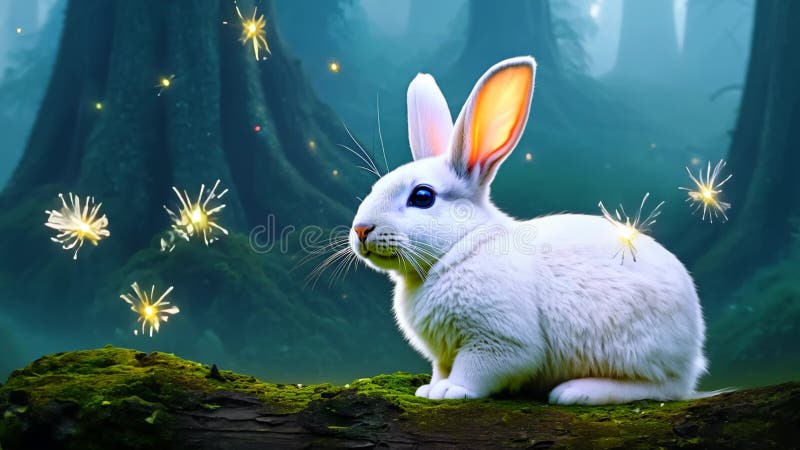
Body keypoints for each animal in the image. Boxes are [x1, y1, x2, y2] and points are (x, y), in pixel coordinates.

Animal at [349, 56, 709, 405]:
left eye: (422, 197)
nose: (361, 230)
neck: (460, 249)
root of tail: (693, 351)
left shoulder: (498, 340)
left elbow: (476, 370)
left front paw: (450, 392)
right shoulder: (443, 355)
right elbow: (441, 370)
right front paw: (430, 389)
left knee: (661, 388)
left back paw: (578, 391)